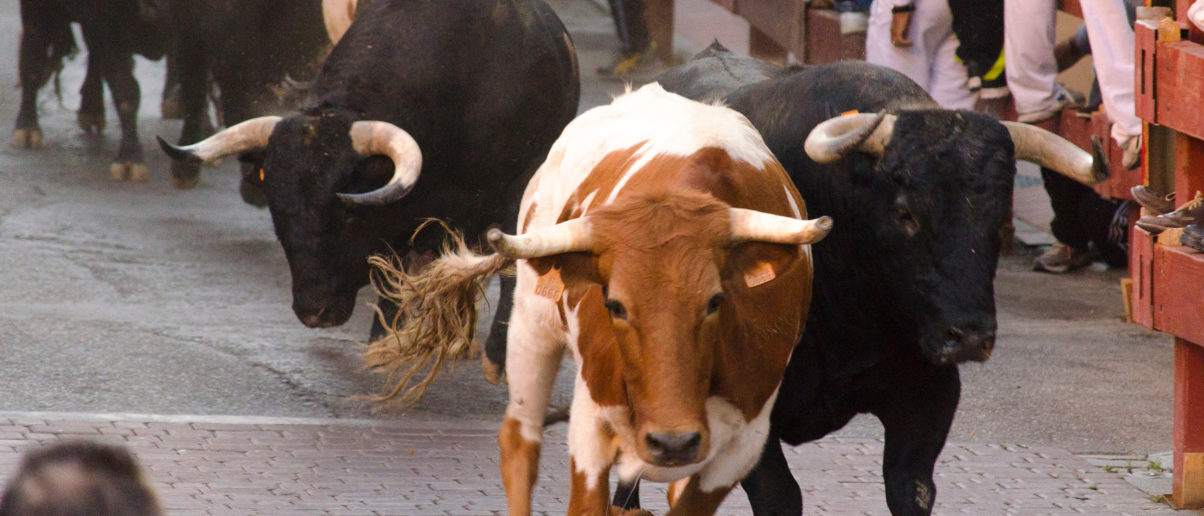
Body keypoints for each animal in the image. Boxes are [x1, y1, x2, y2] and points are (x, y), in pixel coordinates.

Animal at [12, 0, 169, 181]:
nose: (155, 9)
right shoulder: (102, 25)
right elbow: (125, 89)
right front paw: (129, 159)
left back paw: (91, 109)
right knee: (33, 56)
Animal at [159, 0, 579, 391]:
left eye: (346, 213)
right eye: (278, 209)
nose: (314, 310)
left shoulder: (518, 194)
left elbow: (513, 267)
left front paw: (499, 357)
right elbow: (392, 269)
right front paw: (384, 340)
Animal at [640, 44, 1108, 515]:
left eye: (997, 216)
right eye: (904, 212)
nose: (970, 337)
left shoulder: (929, 392)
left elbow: (910, 487)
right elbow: (779, 494)